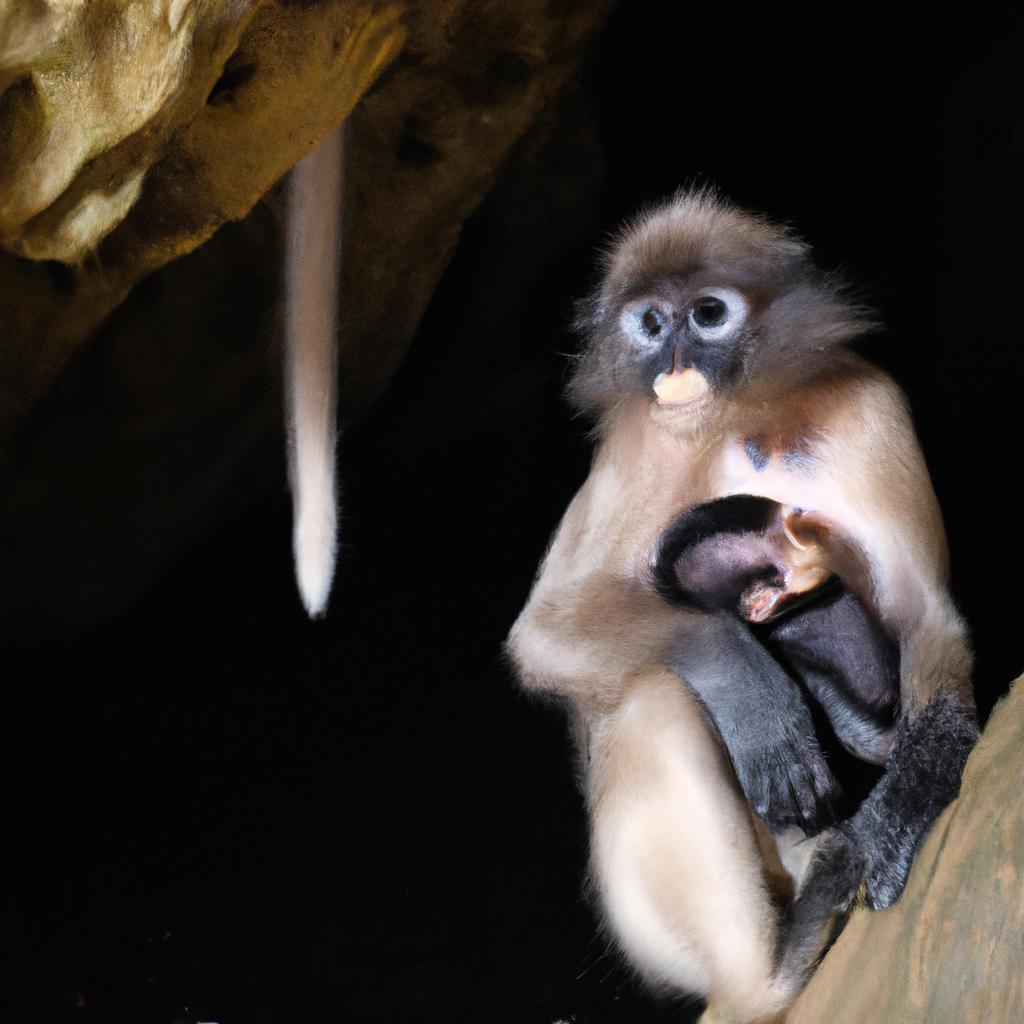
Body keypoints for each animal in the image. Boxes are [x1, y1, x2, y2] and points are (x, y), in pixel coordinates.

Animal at [505, 190, 978, 1023]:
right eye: (651, 323)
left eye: (708, 314)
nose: (672, 364)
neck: (746, 418)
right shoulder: (640, 440)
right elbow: (545, 634)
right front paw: (753, 693)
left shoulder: (869, 401)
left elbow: (926, 619)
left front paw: (901, 810)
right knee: (652, 695)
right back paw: (770, 973)